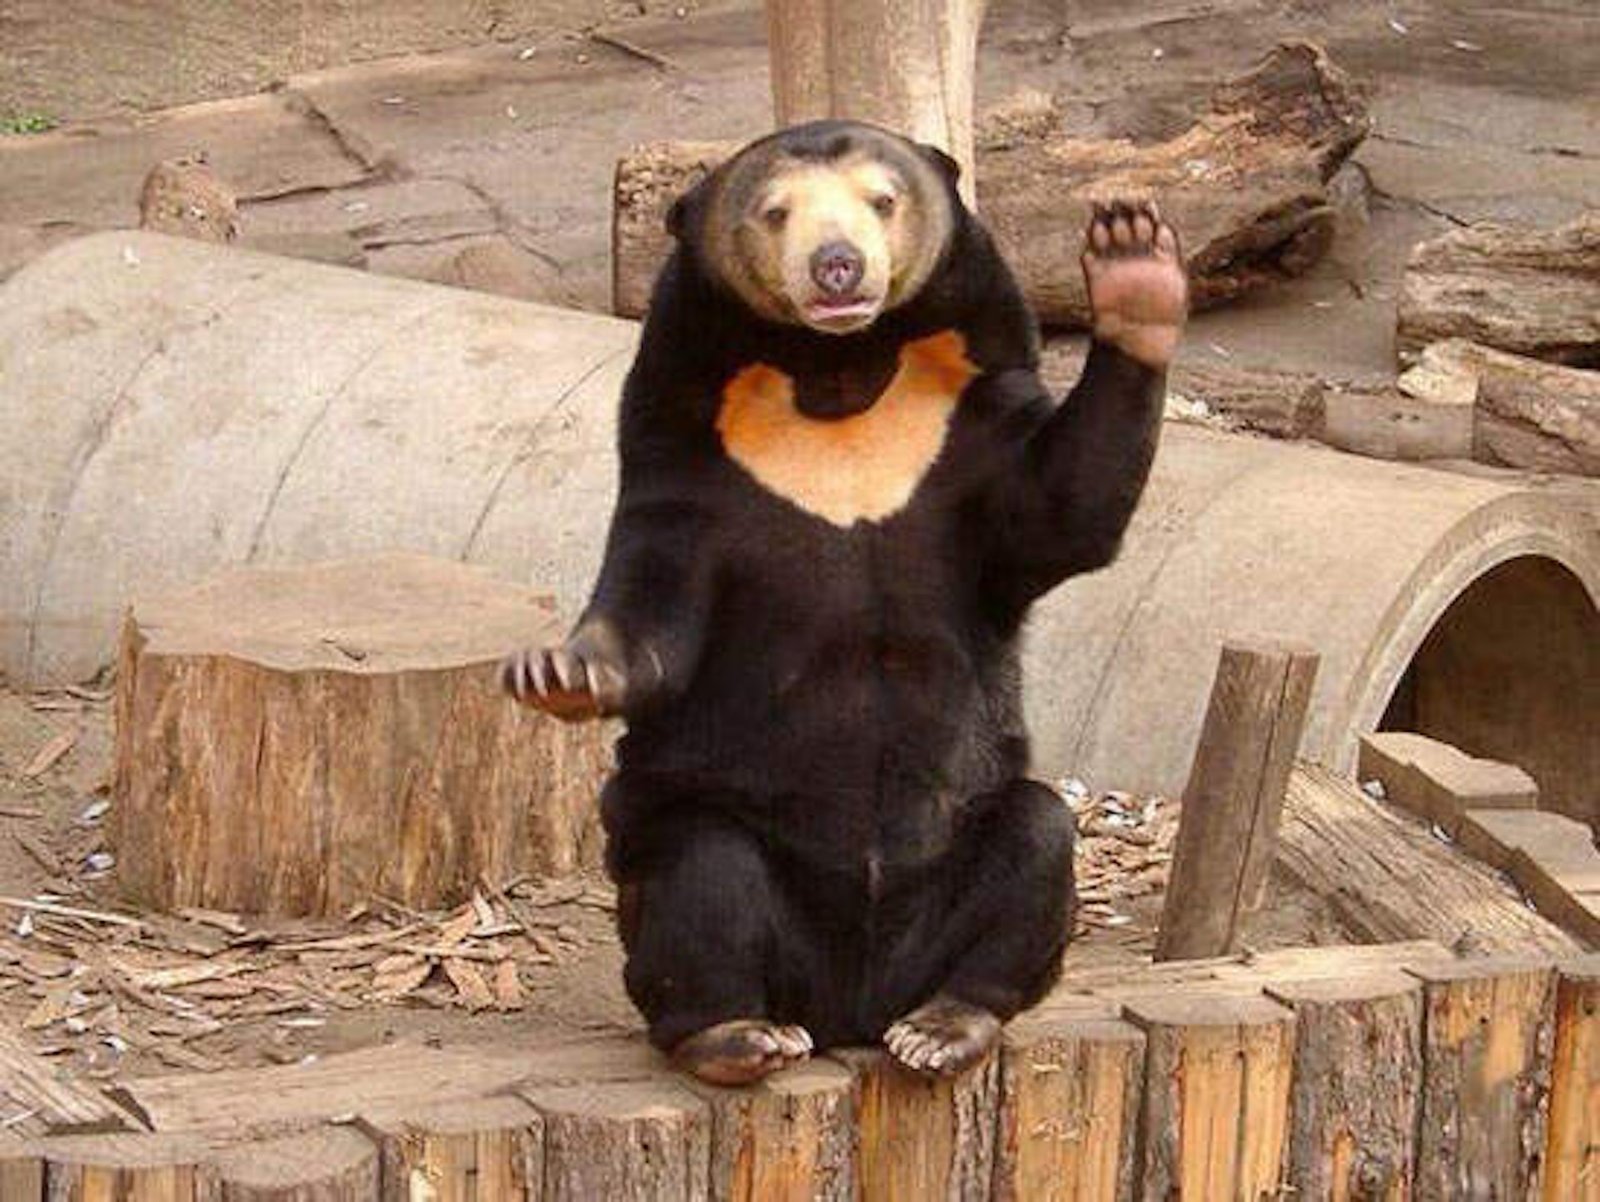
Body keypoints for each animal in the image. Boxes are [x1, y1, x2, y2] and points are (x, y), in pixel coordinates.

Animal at [503, 120, 1187, 1085]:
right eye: (775, 211)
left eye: (882, 199)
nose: (837, 267)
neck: (837, 372)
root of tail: (850, 1011)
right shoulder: (687, 456)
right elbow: (653, 610)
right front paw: (556, 672)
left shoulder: (966, 432)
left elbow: (1064, 510)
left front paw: (1132, 256)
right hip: (693, 863)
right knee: (700, 871)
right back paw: (736, 1035)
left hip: (962, 857)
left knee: (1036, 837)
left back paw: (945, 1025)